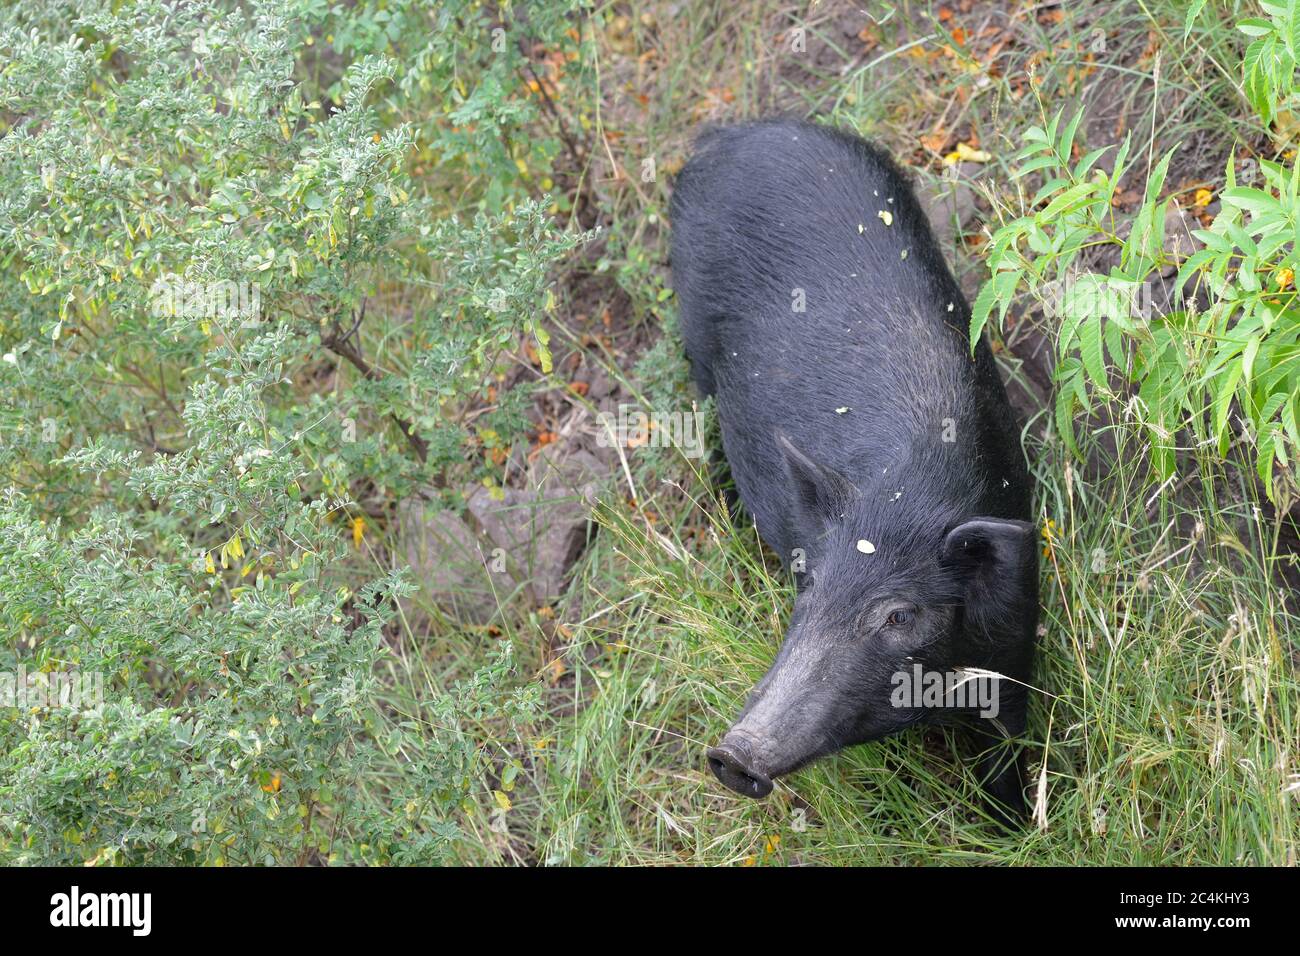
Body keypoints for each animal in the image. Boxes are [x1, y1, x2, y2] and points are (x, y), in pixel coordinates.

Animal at [669, 120, 1039, 822]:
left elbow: (1007, 746)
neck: (905, 501)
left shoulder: (1014, 630)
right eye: (807, 585)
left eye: (897, 617)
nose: (732, 755)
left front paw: (1012, 826)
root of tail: (730, 135)